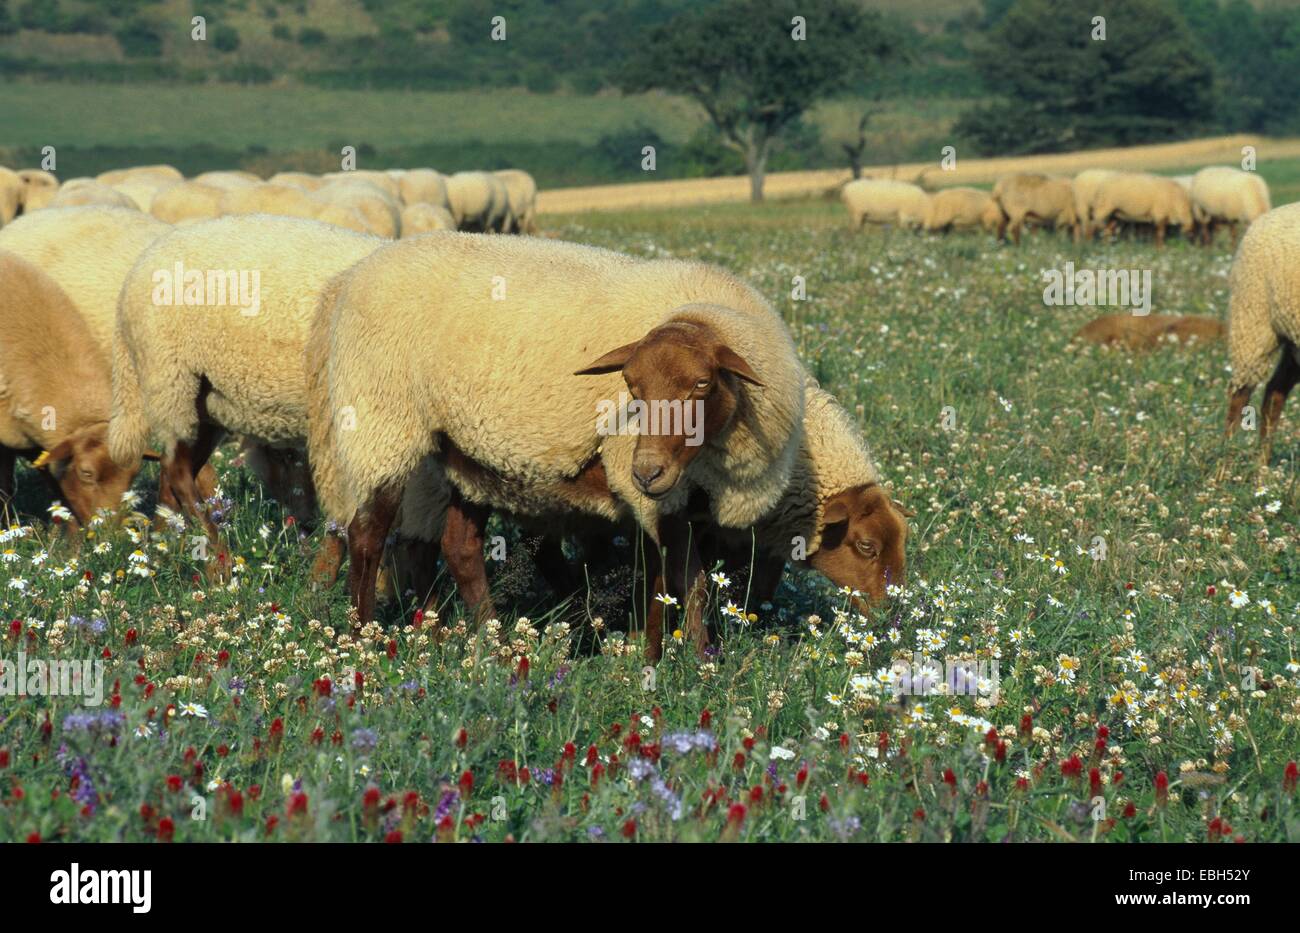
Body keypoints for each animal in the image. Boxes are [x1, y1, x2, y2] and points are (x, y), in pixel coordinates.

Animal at [108, 215, 385, 570]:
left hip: (205, 402)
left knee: (175, 475)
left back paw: (167, 550)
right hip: (172, 377)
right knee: (175, 469)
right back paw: (217, 560)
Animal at [306, 233, 805, 654]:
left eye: (702, 383)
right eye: (630, 384)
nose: (648, 471)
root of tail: (350, 277)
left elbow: (686, 579)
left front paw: (691, 654)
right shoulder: (648, 488)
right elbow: (676, 580)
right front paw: (665, 659)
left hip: (467, 452)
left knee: (460, 546)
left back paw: (489, 640)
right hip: (382, 423)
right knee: (367, 534)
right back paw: (362, 637)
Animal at [1224, 202, 1300, 463]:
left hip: (1292, 338)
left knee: (1274, 393)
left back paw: (1262, 465)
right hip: (1252, 324)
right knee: (1239, 396)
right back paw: (1226, 460)